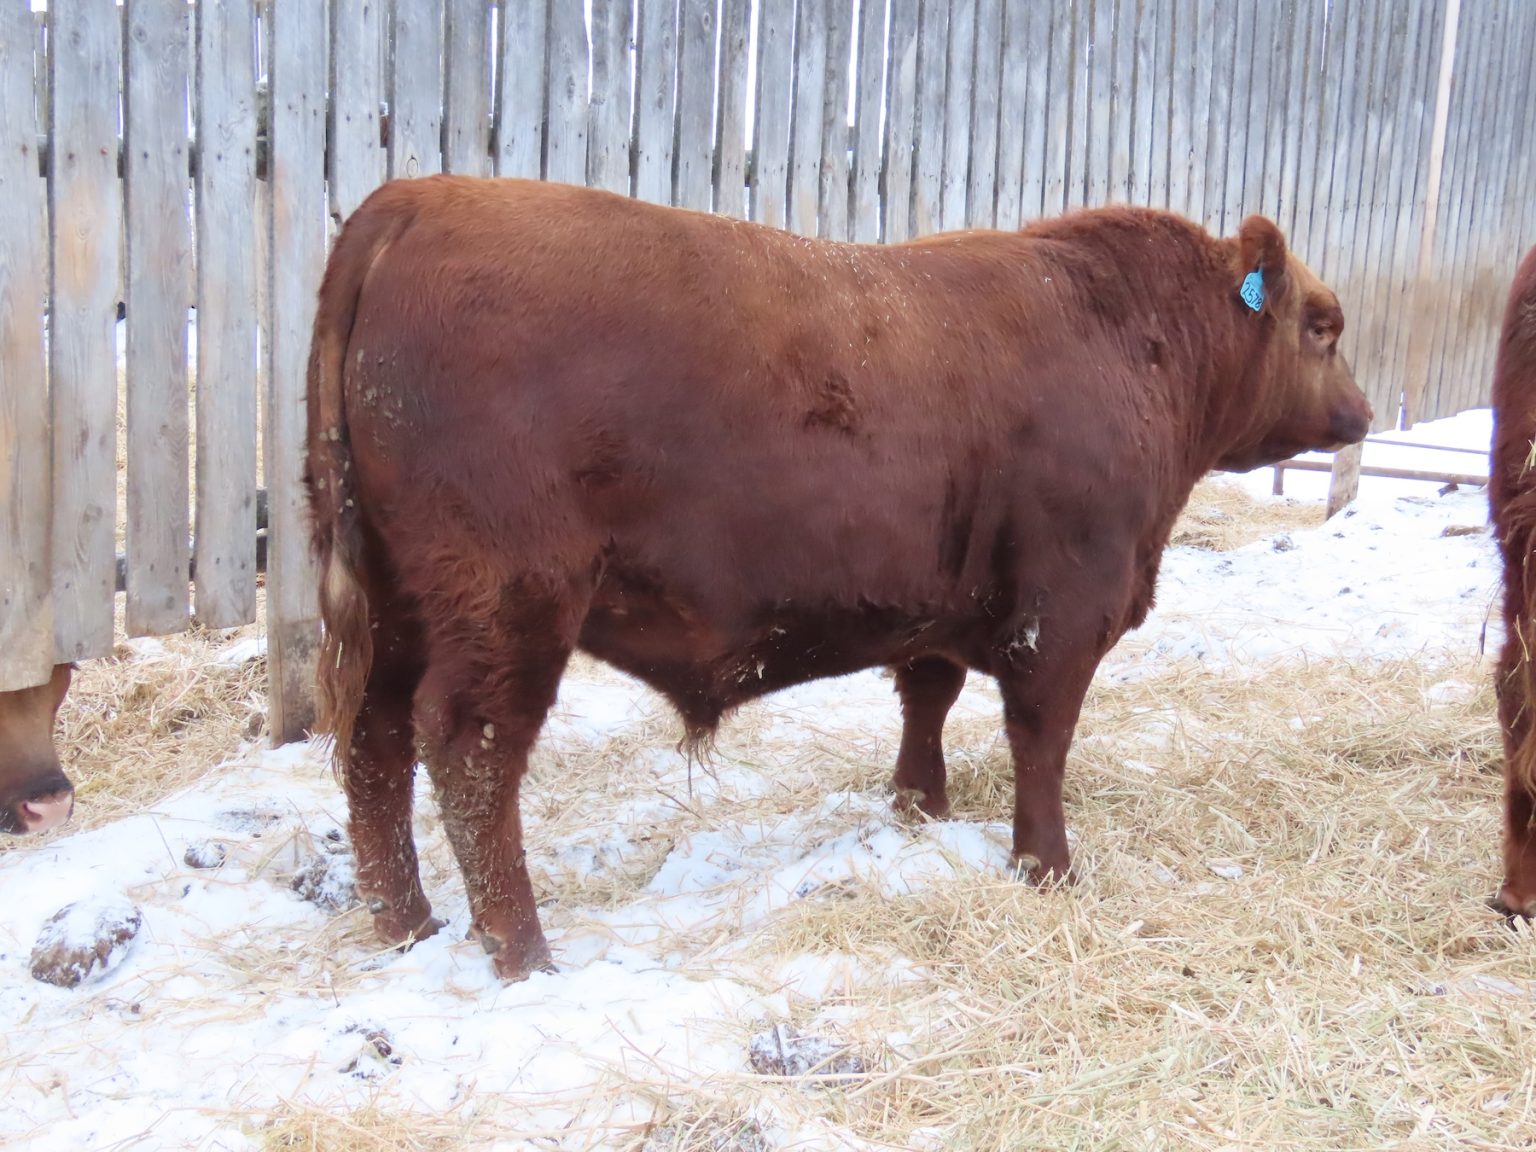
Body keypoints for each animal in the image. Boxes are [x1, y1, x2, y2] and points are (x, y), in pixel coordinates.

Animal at [304, 176, 1372, 980]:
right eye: (1322, 325)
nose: (1361, 413)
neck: (1126, 338)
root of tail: (415, 199)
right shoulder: (1064, 613)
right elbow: (1041, 739)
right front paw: (1049, 866)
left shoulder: (945, 603)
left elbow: (927, 698)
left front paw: (920, 810)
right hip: (509, 604)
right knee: (470, 751)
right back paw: (520, 950)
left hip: (392, 604)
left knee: (375, 741)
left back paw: (405, 922)